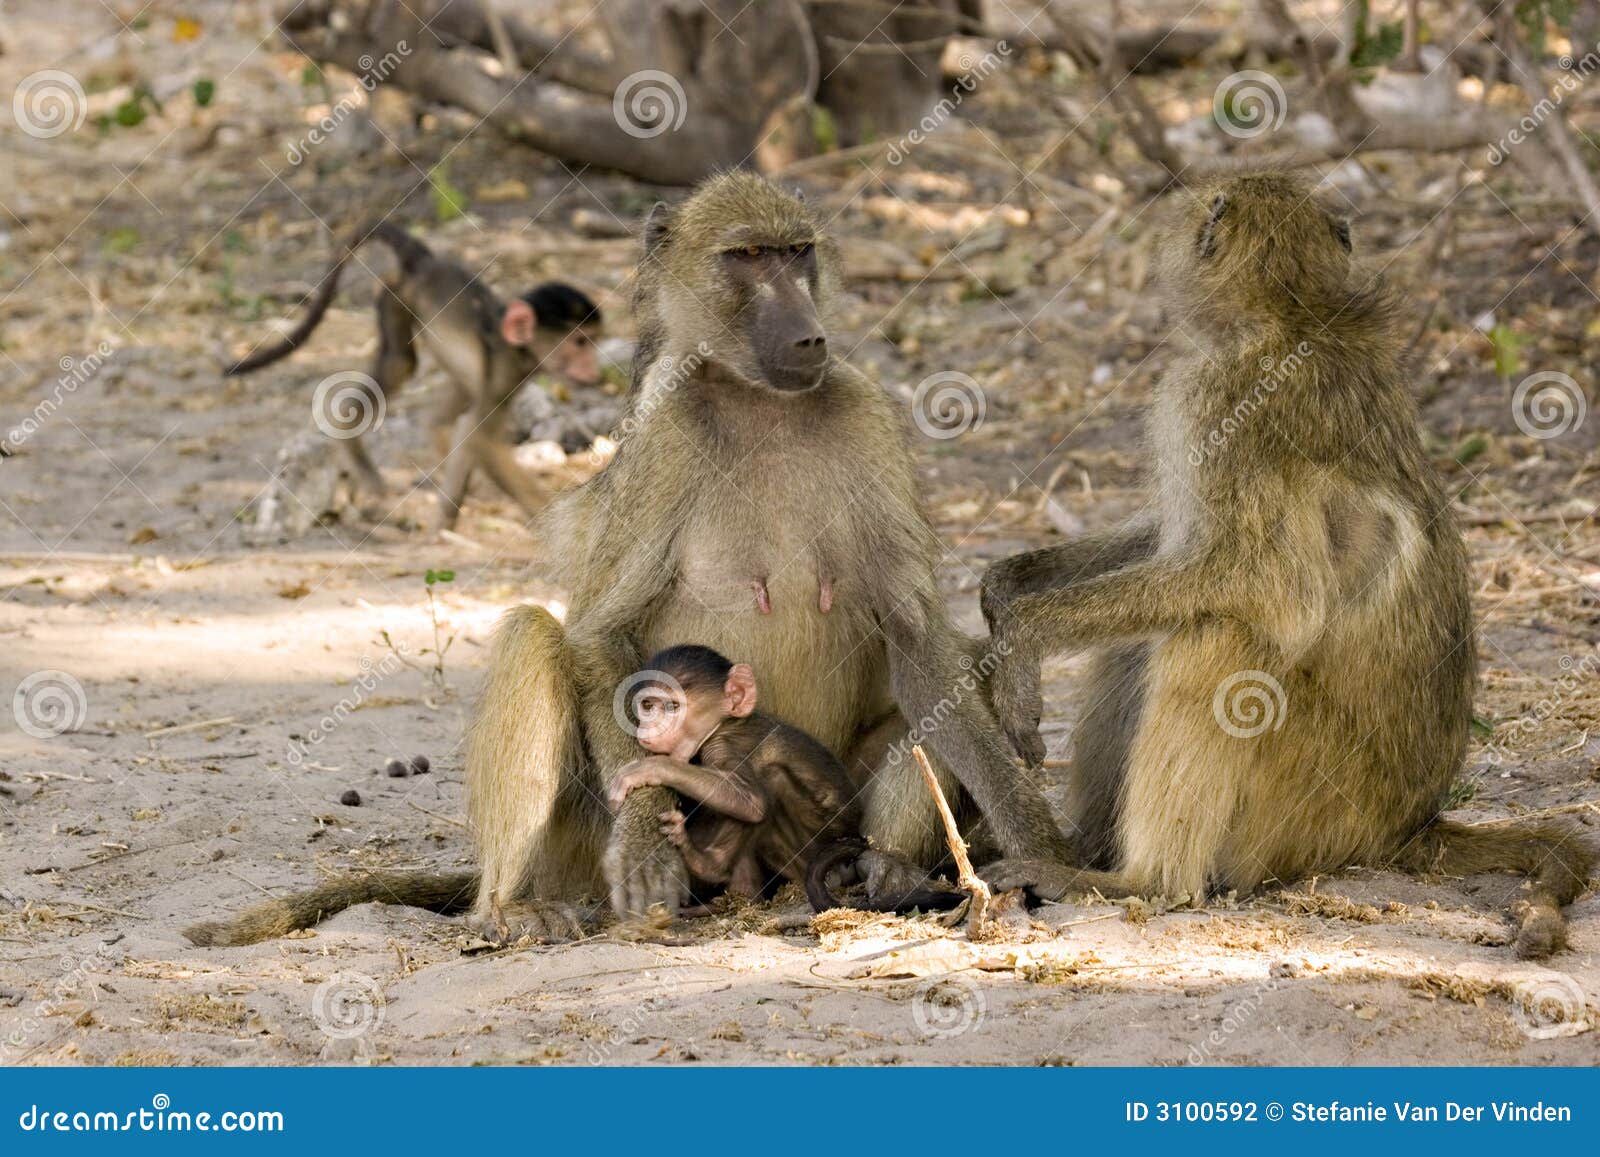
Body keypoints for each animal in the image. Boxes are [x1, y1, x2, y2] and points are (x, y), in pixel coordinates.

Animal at [223, 221, 603, 529]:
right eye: (579, 342)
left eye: (593, 342)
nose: (594, 368)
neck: (518, 347)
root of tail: (424, 261)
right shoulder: (506, 372)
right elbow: (480, 436)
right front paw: (547, 514)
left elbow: (469, 431)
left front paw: (449, 515)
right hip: (394, 292)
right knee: (401, 364)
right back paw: (356, 453)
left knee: (449, 400)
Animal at [610, 644, 964, 914]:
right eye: (647, 706)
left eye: (672, 707)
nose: (649, 727)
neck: (724, 724)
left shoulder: (722, 747)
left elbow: (750, 801)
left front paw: (652, 768)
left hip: (810, 851)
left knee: (771, 783)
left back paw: (707, 865)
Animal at [978, 171, 1594, 959]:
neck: (1293, 311)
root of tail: (1412, 827)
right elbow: (1177, 545)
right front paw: (1008, 588)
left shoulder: (1210, 401)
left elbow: (1270, 590)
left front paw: (1022, 635)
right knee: (1145, 636)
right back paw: (1086, 850)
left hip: (1316, 806)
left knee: (1220, 637)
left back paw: (1136, 881)